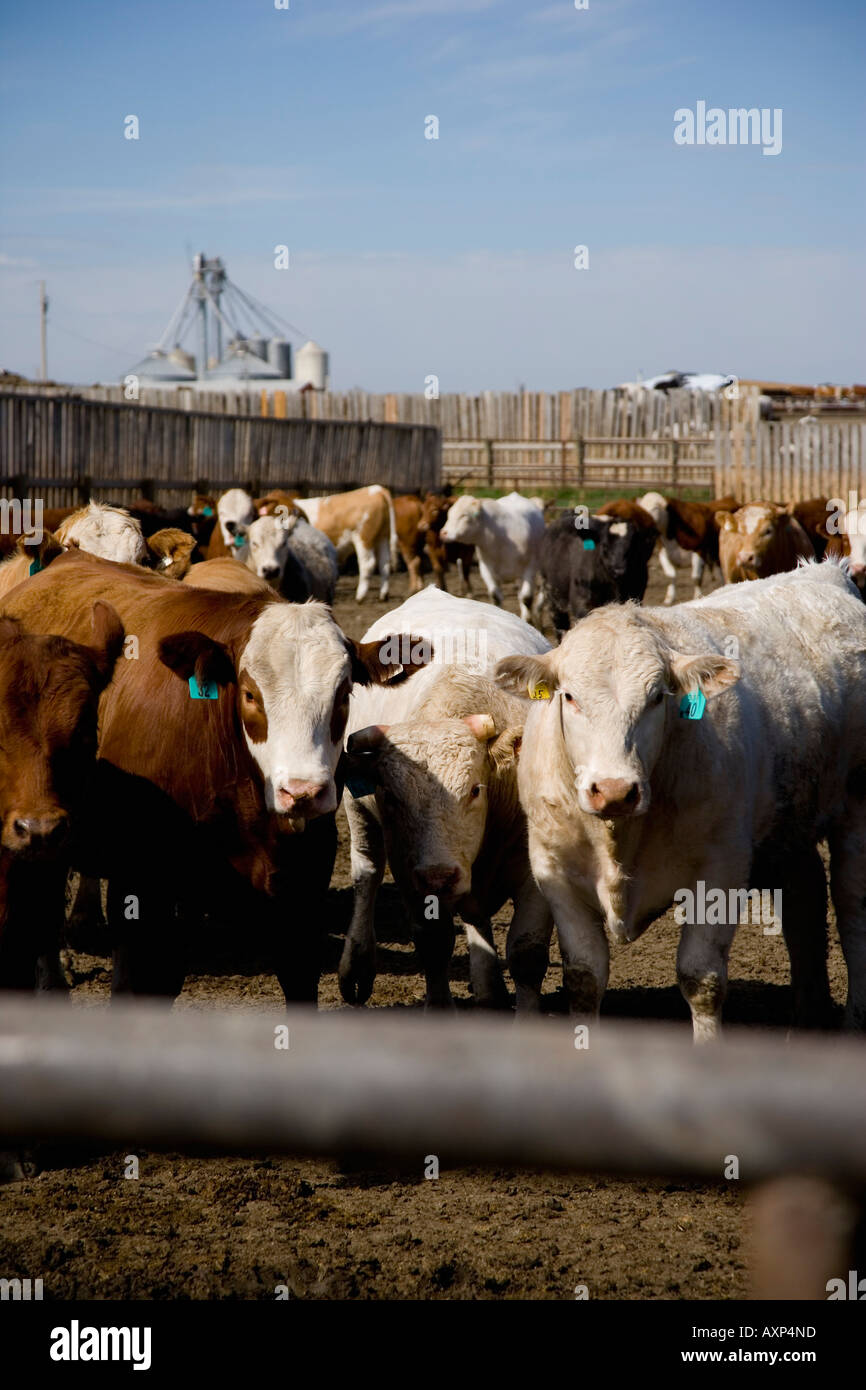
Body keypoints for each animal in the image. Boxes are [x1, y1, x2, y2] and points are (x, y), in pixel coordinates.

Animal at [341, 587, 551, 1009]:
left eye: (474, 789)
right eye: (391, 797)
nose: (439, 875)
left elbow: (527, 951)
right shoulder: (410, 871)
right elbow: (433, 943)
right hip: (359, 816)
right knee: (366, 874)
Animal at [439, 492, 545, 624]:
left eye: (464, 515)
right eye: (449, 514)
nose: (443, 533)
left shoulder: (530, 567)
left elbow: (527, 598)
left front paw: (529, 621)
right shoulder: (486, 568)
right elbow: (495, 597)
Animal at [494, 562, 866, 1038]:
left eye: (657, 697)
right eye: (569, 696)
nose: (614, 790)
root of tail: (825, 572)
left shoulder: (721, 869)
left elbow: (701, 979)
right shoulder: (554, 872)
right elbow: (584, 977)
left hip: (855, 807)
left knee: (852, 909)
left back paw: (852, 1022)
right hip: (790, 822)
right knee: (804, 899)